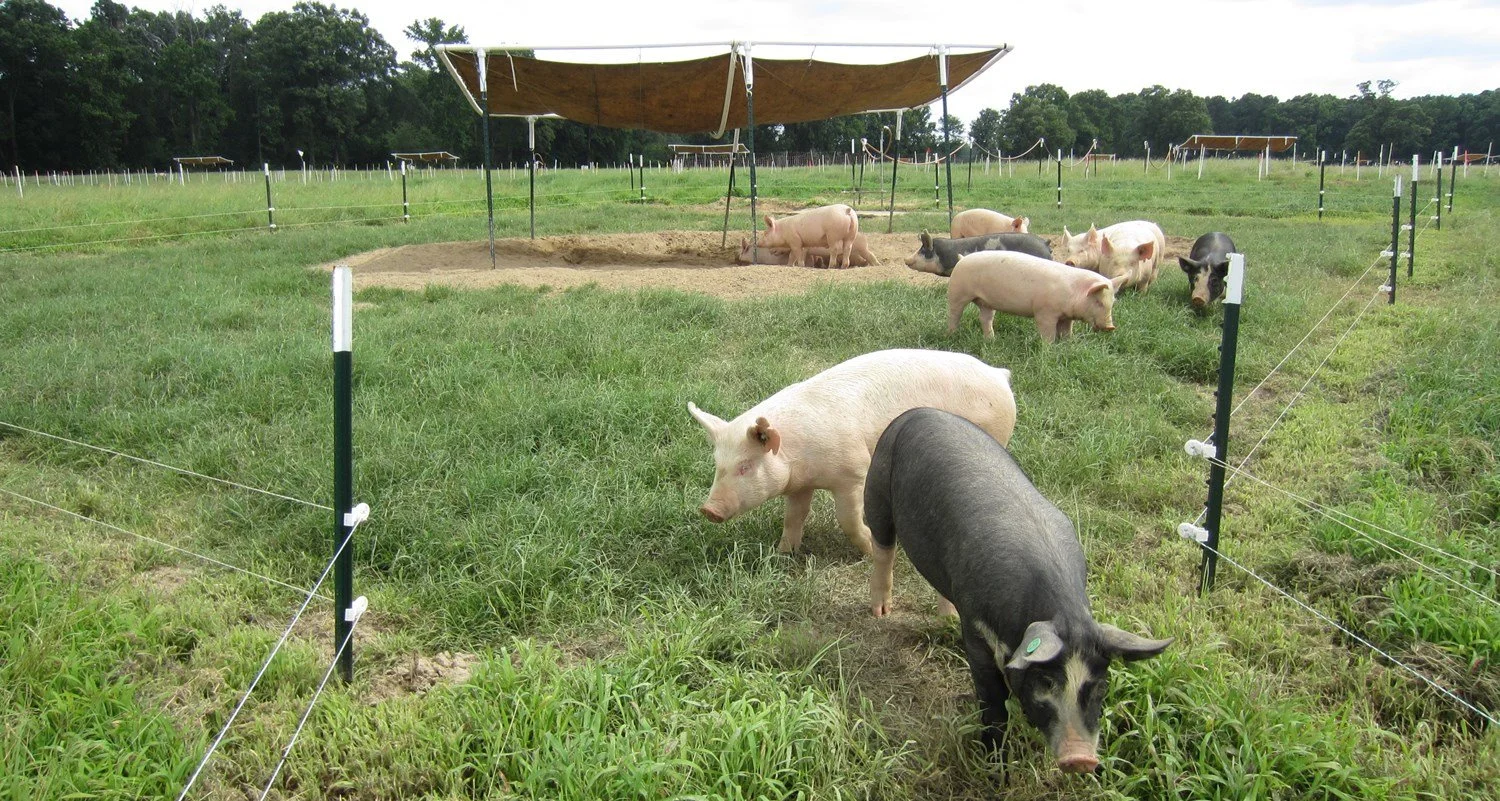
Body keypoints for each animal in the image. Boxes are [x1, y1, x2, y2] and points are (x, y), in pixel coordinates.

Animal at [687, 349, 1016, 555]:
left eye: (745, 465)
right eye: (718, 465)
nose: (708, 509)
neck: (800, 455)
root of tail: (998, 374)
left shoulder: (853, 471)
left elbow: (847, 519)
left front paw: (869, 549)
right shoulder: (799, 485)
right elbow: (794, 517)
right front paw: (782, 555)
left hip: (995, 432)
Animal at [865, 407, 1173, 771]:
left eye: (1098, 687)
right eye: (1046, 681)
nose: (1081, 759)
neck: (1059, 612)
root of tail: (917, 411)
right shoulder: (976, 628)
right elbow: (992, 702)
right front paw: (995, 766)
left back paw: (946, 617)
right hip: (877, 487)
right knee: (883, 547)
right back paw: (881, 612)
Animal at [947, 251, 1129, 343]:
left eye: (1112, 303)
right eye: (1098, 301)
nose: (1110, 327)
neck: (1072, 292)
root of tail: (962, 258)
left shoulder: (1066, 317)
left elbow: (1066, 331)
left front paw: (1068, 344)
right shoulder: (1045, 312)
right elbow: (1047, 332)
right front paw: (1049, 349)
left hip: (986, 302)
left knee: (985, 318)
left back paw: (991, 340)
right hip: (958, 292)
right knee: (954, 314)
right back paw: (952, 334)